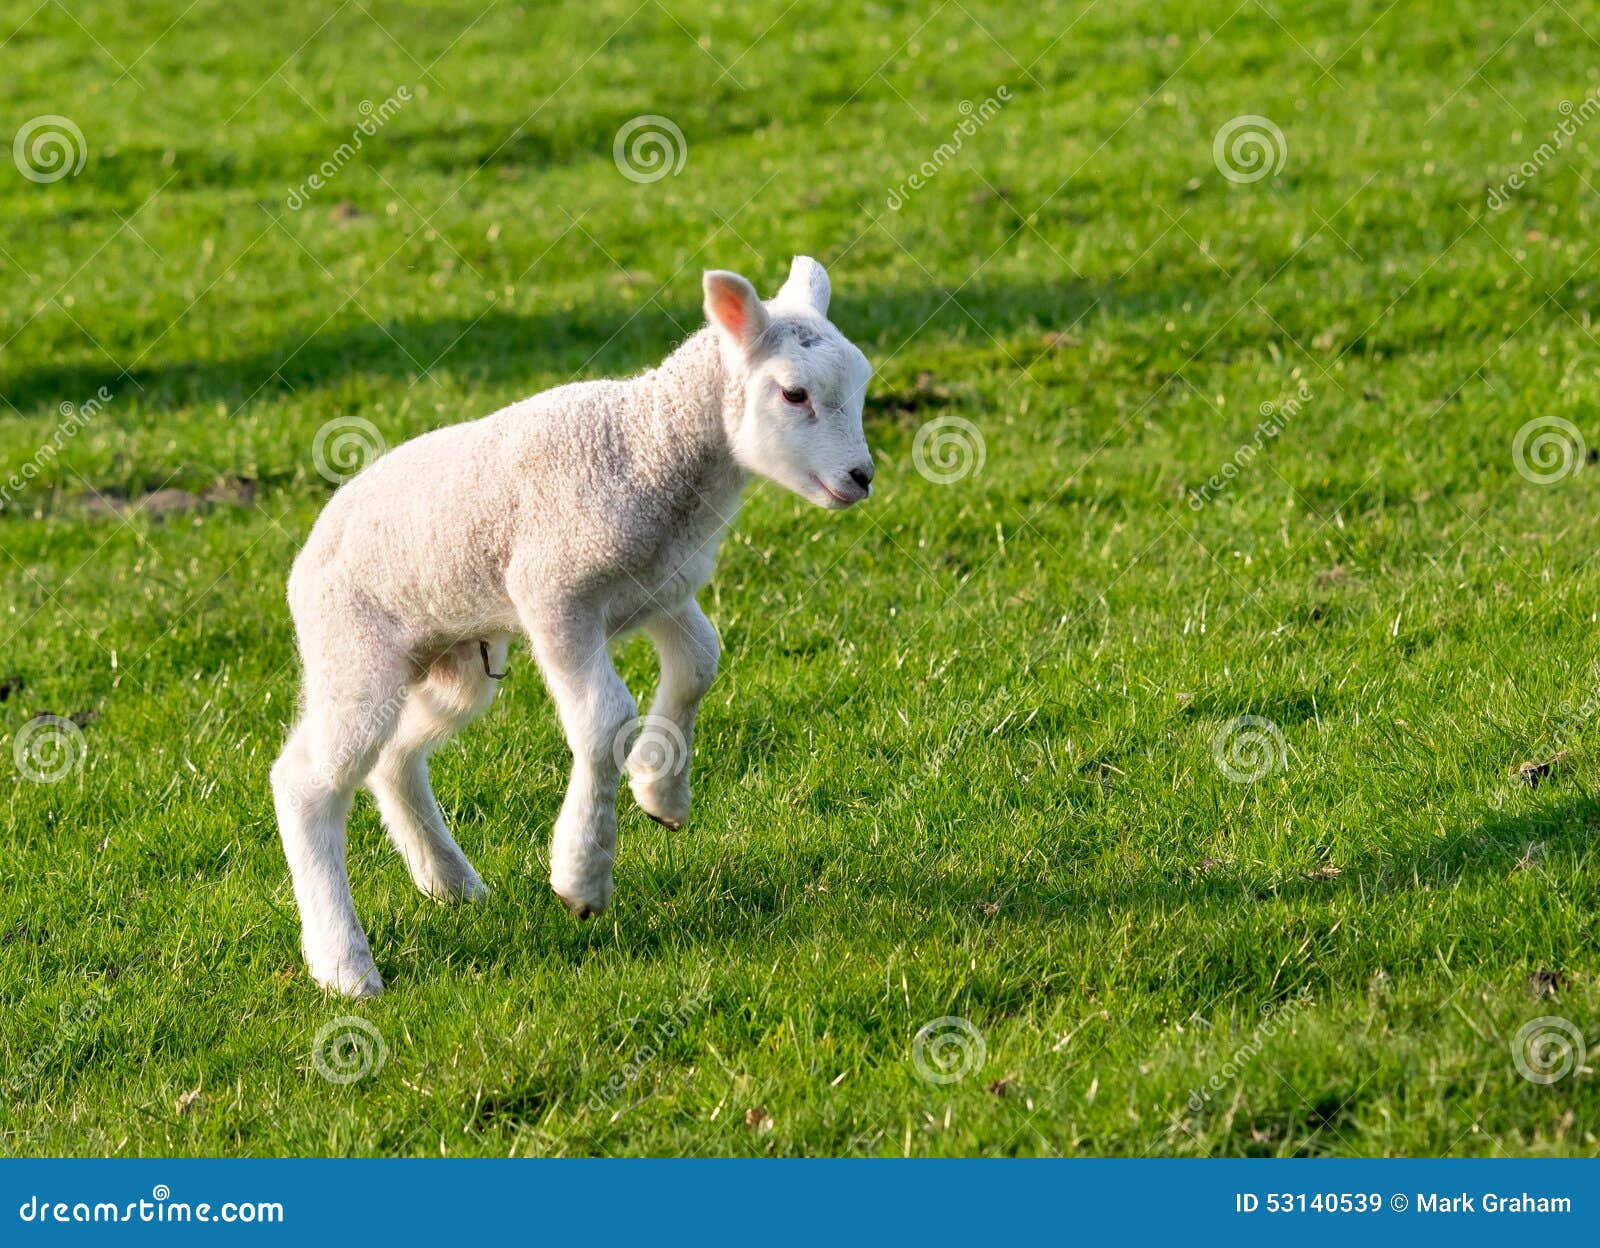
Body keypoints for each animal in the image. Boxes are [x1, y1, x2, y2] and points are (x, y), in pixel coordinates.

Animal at [270, 256, 875, 998]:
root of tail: (308, 552)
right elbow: (604, 719)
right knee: (308, 781)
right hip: (352, 648)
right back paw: (344, 965)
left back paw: (450, 883)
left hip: (454, 660)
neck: (650, 444)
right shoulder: (556, 595)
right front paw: (581, 875)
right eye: (794, 395)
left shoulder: (660, 589)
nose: (861, 477)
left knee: (394, 757)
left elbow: (701, 662)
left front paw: (661, 791)